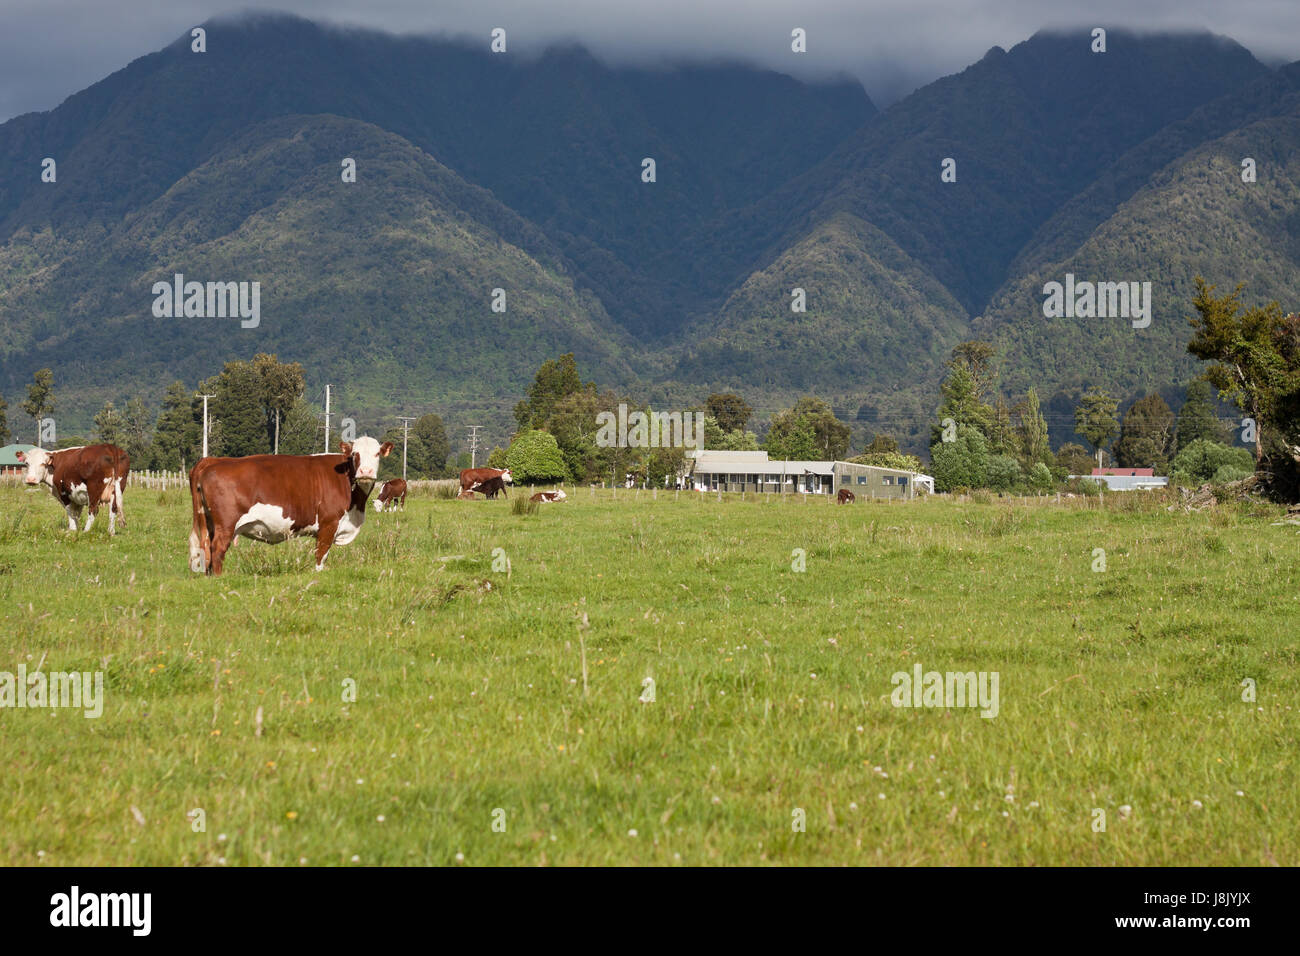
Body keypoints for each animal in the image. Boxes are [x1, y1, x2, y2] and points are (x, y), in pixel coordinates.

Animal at [188, 437, 393, 575]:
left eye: (377, 454)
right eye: (354, 454)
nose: (365, 471)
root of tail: (212, 460)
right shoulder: (329, 523)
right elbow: (321, 556)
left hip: (209, 522)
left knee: (206, 548)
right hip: (226, 525)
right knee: (217, 549)